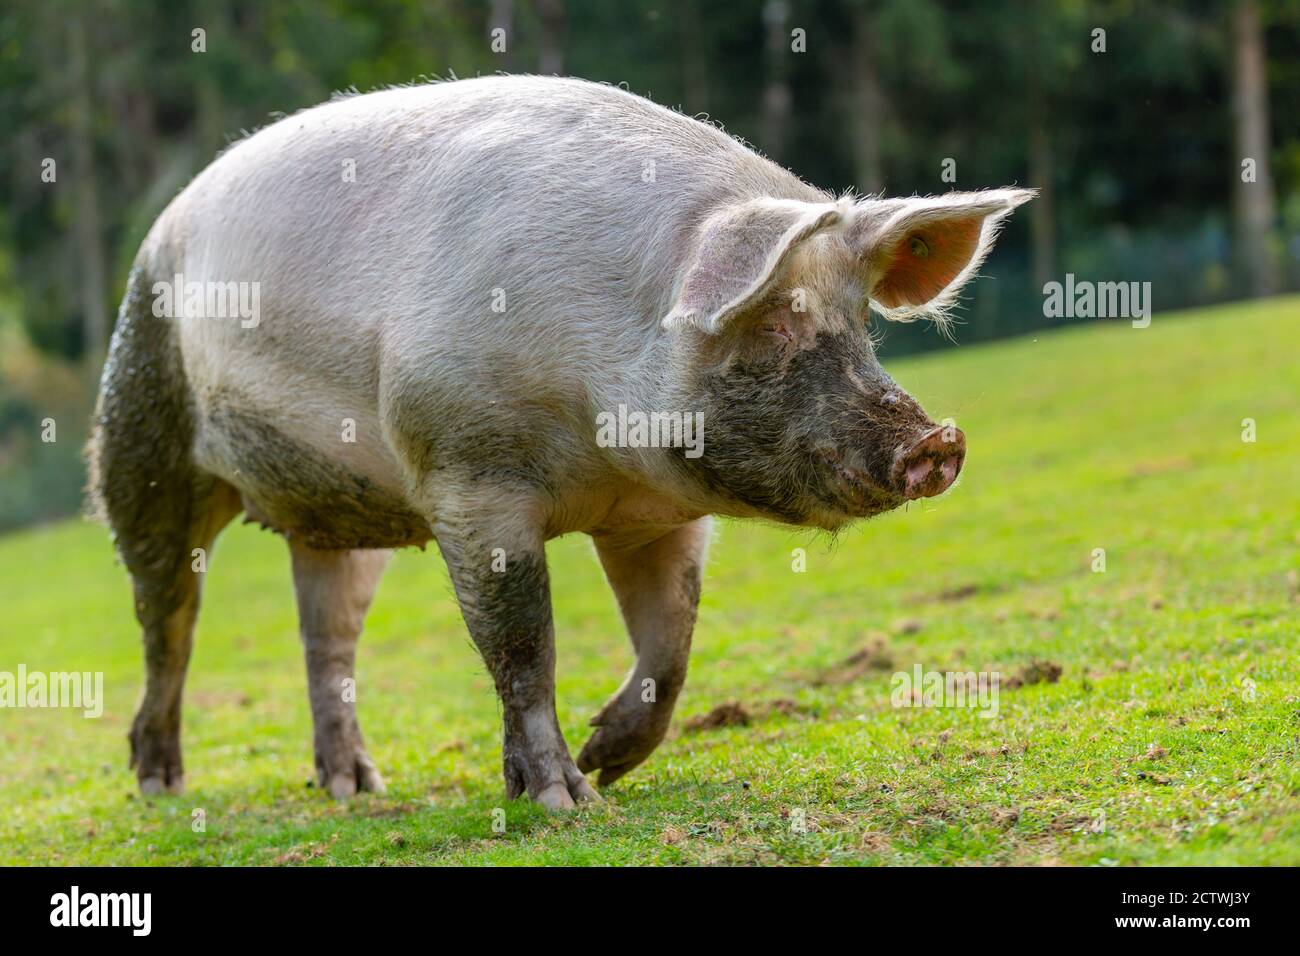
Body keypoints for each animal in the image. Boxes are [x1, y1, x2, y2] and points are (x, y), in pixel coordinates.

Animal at [87, 75, 1032, 809]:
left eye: (862, 322)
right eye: (770, 322)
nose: (937, 443)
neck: (594, 437)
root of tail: (161, 224)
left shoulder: (660, 514)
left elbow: (671, 644)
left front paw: (603, 761)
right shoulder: (467, 476)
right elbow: (523, 645)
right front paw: (561, 799)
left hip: (336, 514)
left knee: (327, 635)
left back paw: (356, 788)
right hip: (141, 428)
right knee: (167, 621)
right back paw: (160, 784)